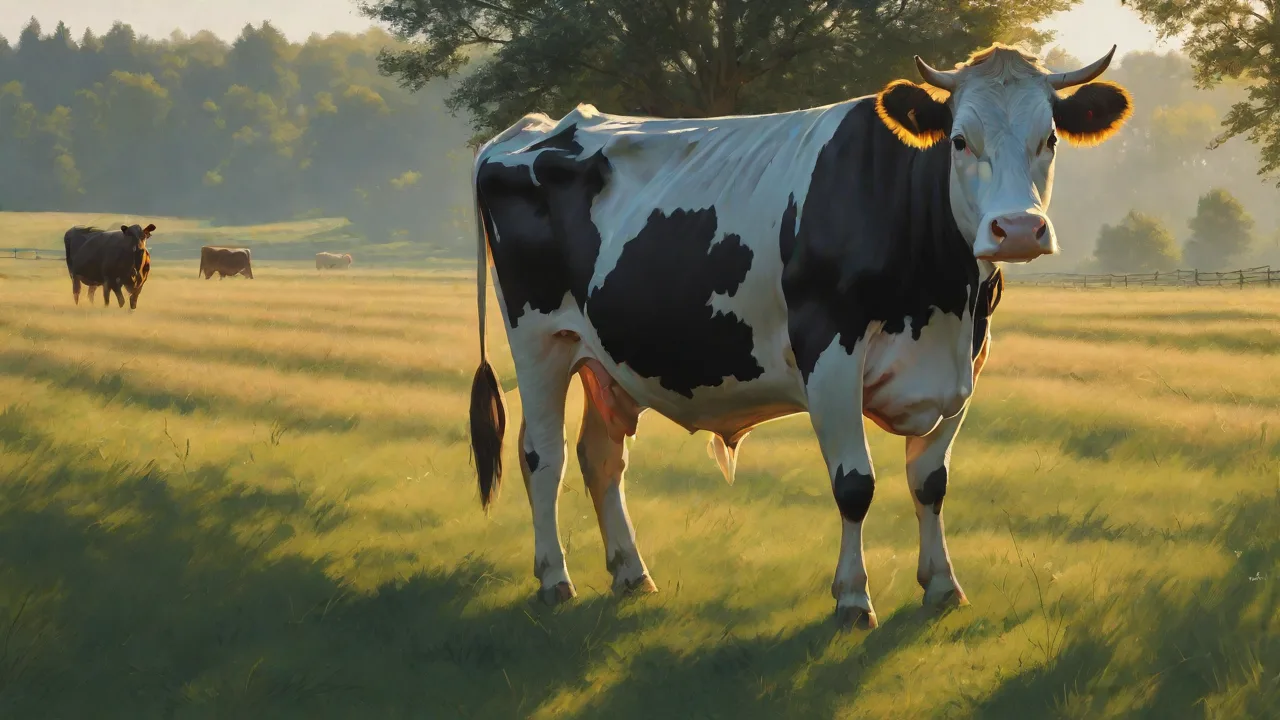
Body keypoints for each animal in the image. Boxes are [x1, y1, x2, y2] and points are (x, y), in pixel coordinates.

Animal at [467, 44, 1132, 628]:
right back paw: (555, 579)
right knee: (542, 454)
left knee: (601, 456)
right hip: (539, 337)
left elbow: (930, 482)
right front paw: (853, 599)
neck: (943, 300)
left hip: (602, 357)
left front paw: (942, 586)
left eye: (1049, 139)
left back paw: (631, 574)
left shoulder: (963, 365)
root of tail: (533, 128)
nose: (1017, 229)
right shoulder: (828, 352)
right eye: (960, 140)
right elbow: (855, 484)